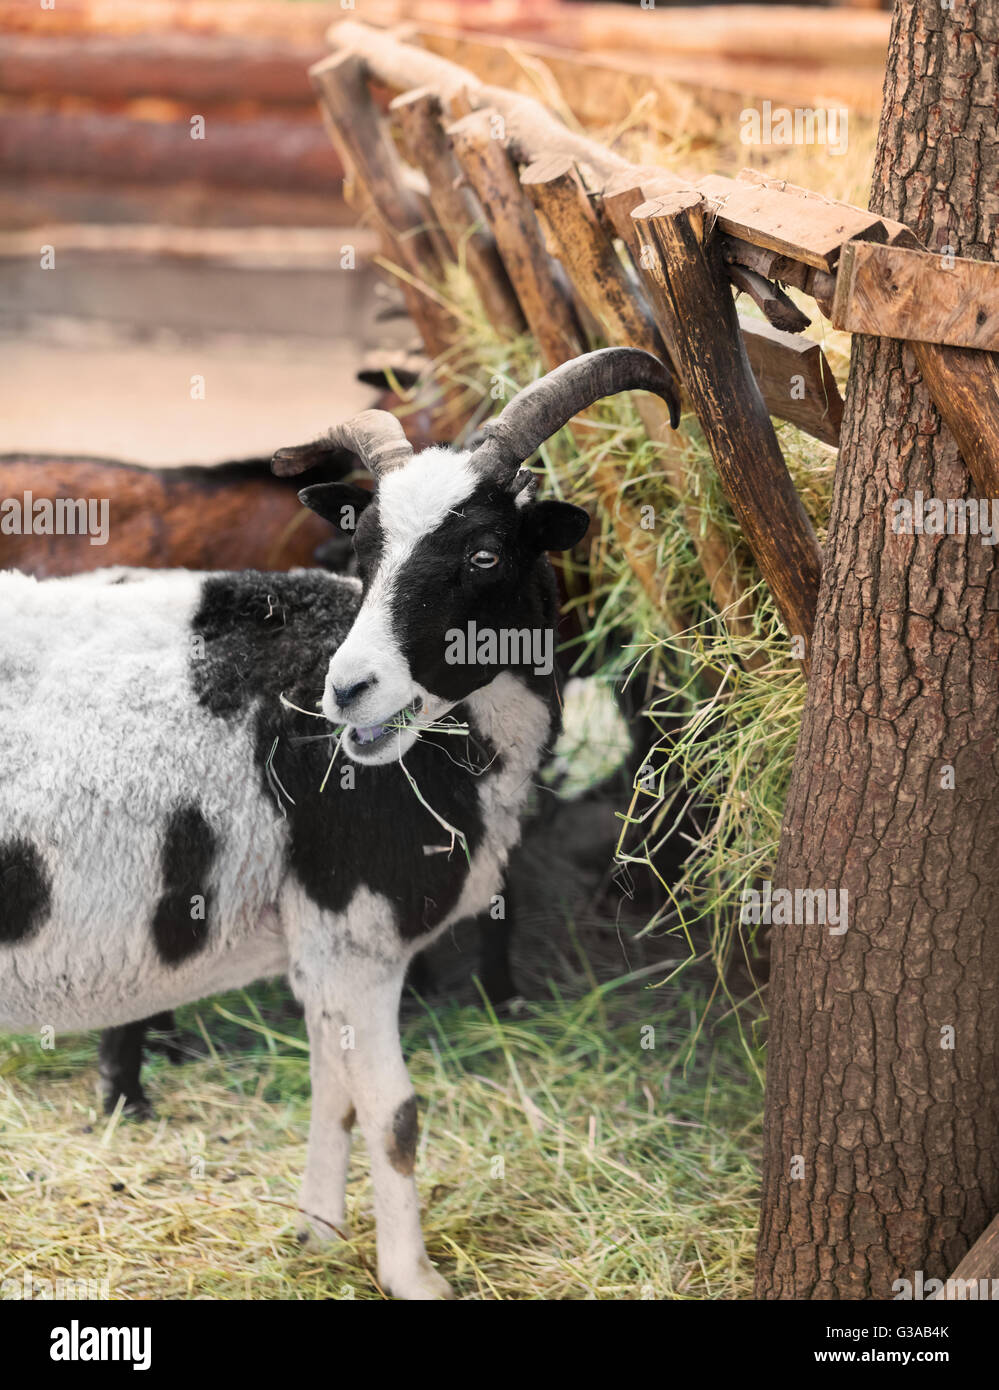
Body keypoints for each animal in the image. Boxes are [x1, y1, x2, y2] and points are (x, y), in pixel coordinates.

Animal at [0, 348, 679, 1298]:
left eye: (484, 553)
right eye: (364, 551)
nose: (349, 690)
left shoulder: (319, 936)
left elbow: (336, 1090)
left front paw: (317, 1233)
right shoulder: (358, 926)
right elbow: (394, 1113)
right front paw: (415, 1278)